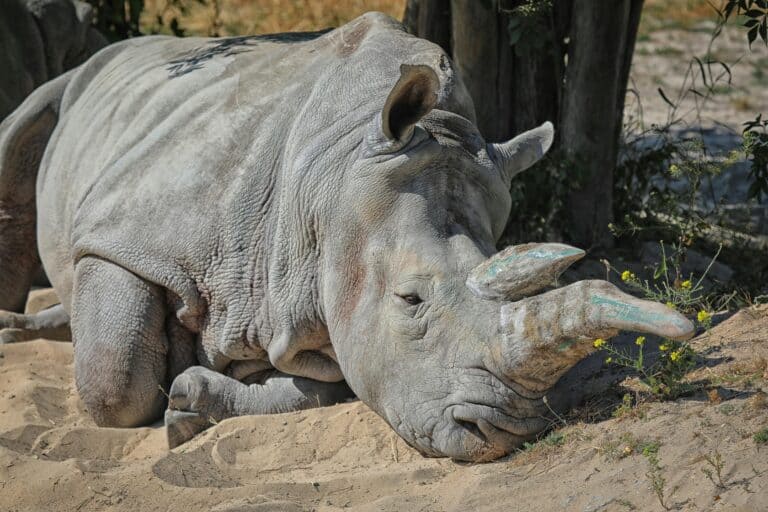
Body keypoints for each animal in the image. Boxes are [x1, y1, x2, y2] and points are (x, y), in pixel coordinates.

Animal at [0, 13, 694, 461]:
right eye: (411, 300)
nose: (506, 430)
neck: (331, 173)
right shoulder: (126, 237)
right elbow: (116, 382)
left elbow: (331, 383)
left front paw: (197, 399)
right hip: (75, 80)